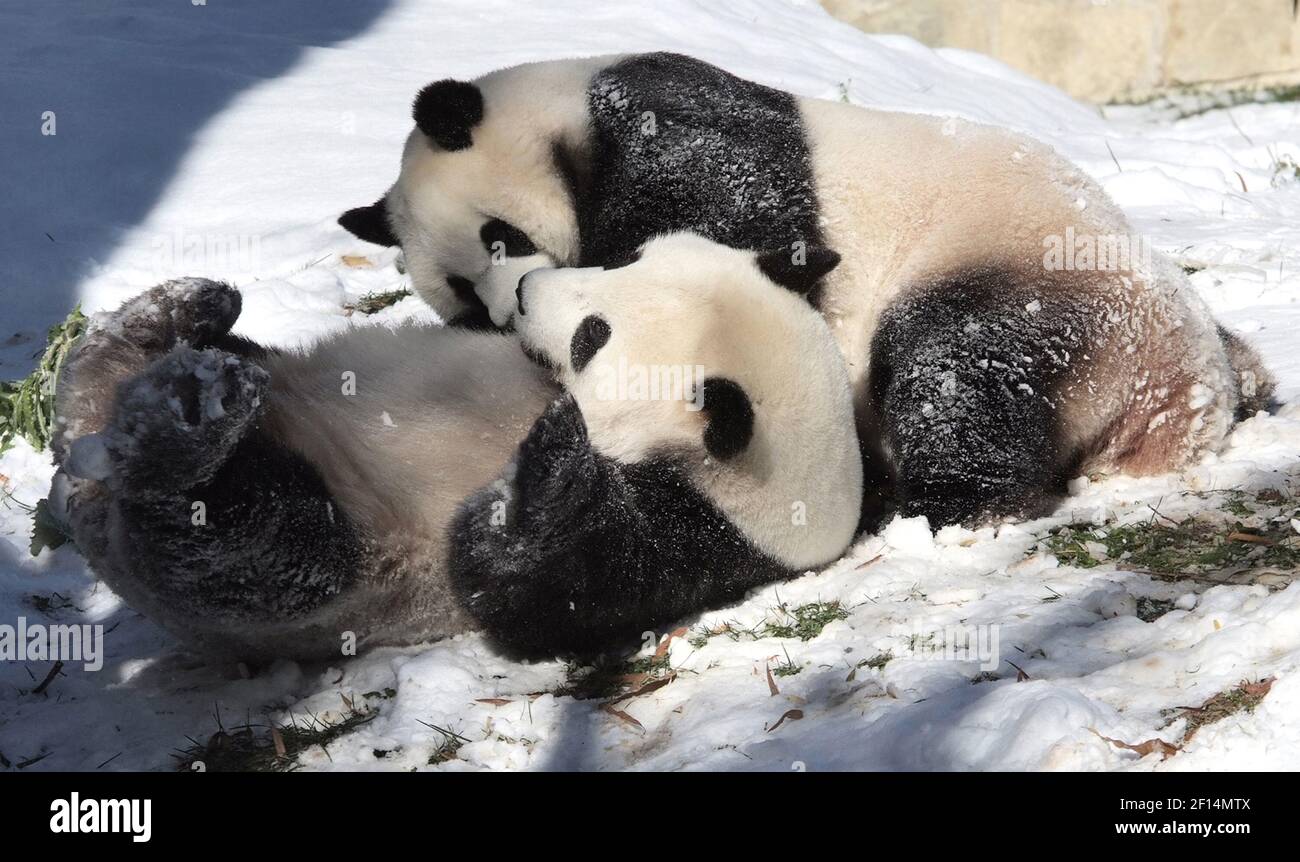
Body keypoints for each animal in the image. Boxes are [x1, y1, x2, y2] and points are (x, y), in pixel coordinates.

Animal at [48, 233, 862, 660]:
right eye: (622, 260)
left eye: (592, 335)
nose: (529, 289)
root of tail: (85, 474)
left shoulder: (688, 540)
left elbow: (516, 588)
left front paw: (549, 465)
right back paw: (181, 315)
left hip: (331, 566)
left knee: (255, 547)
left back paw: (185, 431)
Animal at [340, 51, 1275, 527]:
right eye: (463, 302)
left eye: (503, 237)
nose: (513, 307)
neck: (560, 114)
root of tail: (1183, 398)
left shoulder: (670, 132)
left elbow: (735, 222)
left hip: (1034, 278)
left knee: (957, 371)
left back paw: (943, 500)